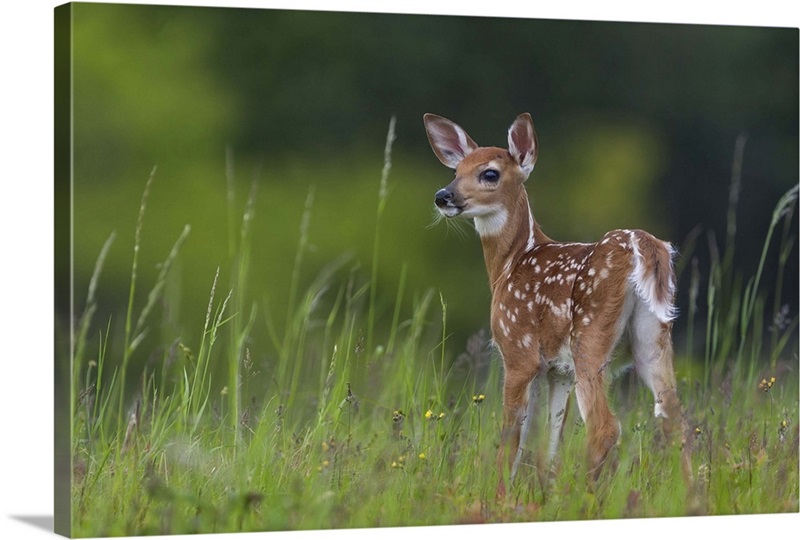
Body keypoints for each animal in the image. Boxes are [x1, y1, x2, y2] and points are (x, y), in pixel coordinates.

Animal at [423, 112, 692, 495]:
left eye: (490, 173)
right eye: (456, 170)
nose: (443, 196)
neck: (509, 264)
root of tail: (643, 245)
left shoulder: (518, 351)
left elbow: (512, 437)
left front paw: (499, 495)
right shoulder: (556, 370)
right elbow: (551, 439)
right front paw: (544, 493)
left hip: (590, 338)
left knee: (605, 427)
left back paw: (587, 496)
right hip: (652, 339)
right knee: (674, 419)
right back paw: (691, 495)